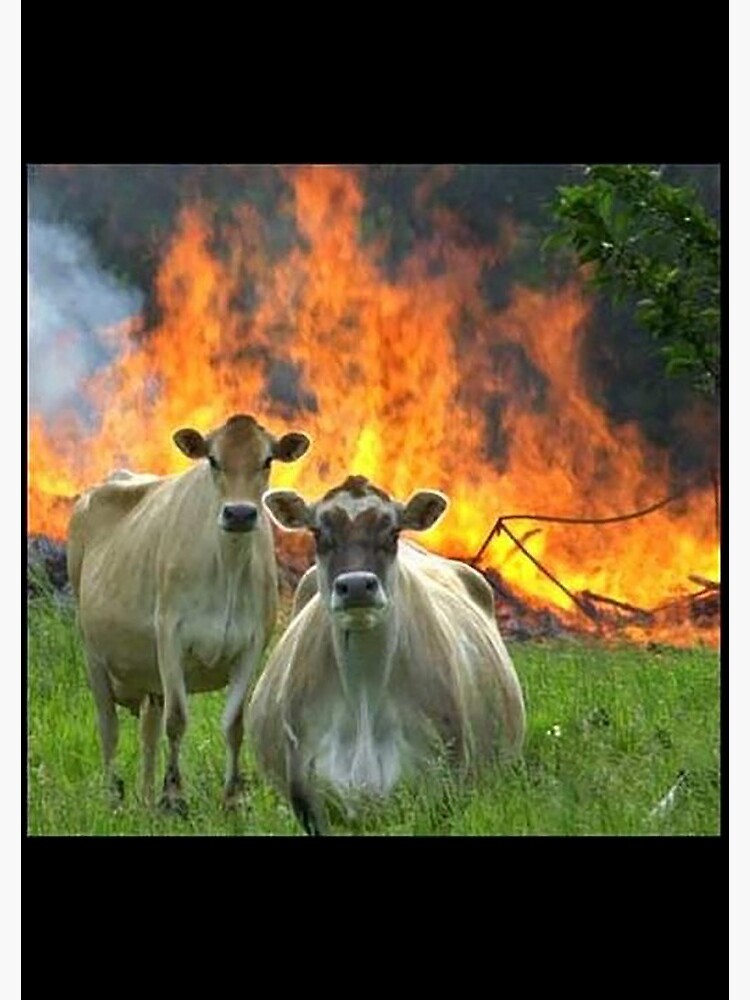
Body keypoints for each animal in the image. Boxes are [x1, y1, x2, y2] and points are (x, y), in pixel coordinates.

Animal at [66, 413, 310, 814]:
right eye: (213, 460)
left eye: (267, 460)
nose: (240, 513)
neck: (226, 566)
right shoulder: (170, 637)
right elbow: (177, 719)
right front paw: (174, 796)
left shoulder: (252, 645)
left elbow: (234, 724)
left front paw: (232, 798)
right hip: (93, 654)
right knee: (109, 728)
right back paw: (114, 796)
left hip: (147, 672)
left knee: (147, 730)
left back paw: (145, 798)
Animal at [247, 474, 525, 835]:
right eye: (318, 532)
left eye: (392, 531)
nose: (356, 586)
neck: (364, 692)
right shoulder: (308, 798)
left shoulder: (442, 788)